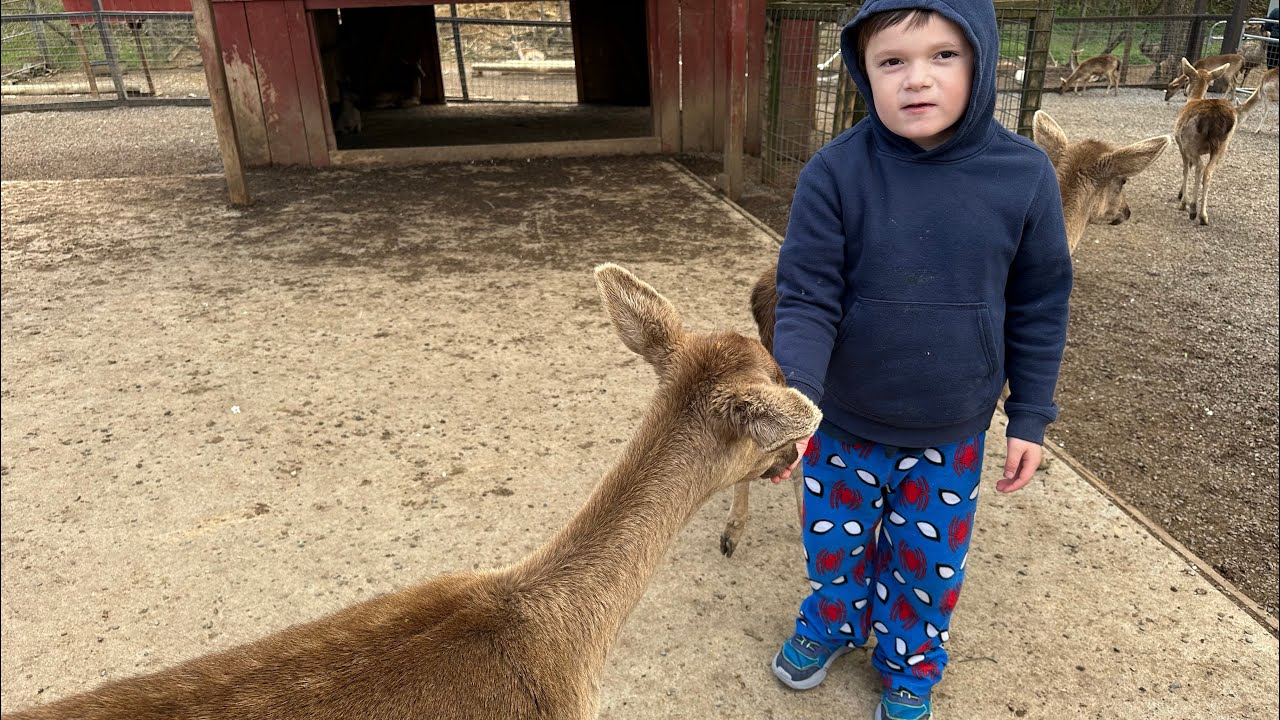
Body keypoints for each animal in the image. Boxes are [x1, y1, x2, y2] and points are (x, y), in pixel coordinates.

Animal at [1173, 57, 1239, 226]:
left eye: (1186, 79)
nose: (1184, 91)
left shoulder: (1181, 145)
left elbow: (1186, 169)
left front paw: (1183, 201)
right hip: (1223, 146)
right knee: (1208, 172)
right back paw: (1203, 215)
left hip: (1191, 142)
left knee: (1200, 167)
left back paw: (1193, 208)